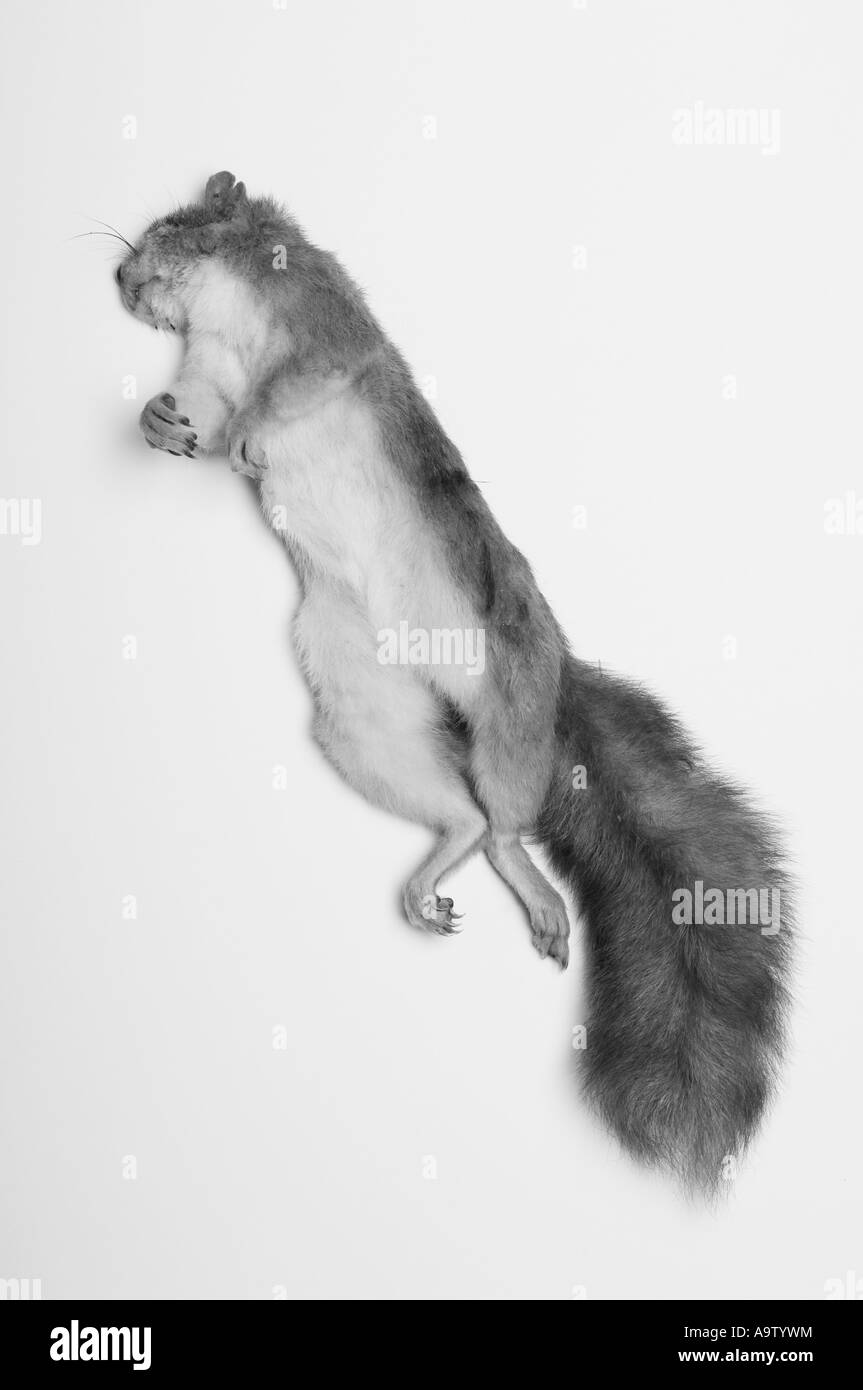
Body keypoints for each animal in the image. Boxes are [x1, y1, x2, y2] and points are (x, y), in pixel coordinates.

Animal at [116, 171, 791, 1193]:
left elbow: (295, 382)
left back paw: (528, 882)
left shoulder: (321, 322)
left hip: (504, 710)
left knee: (505, 818)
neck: (227, 313)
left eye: (168, 223)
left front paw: (244, 439)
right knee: (466, 817)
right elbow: (190, 398)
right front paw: (158, 423)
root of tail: (552, 683)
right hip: (362, 710)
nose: (121, 281)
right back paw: (455, 871)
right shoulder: (204, 370)